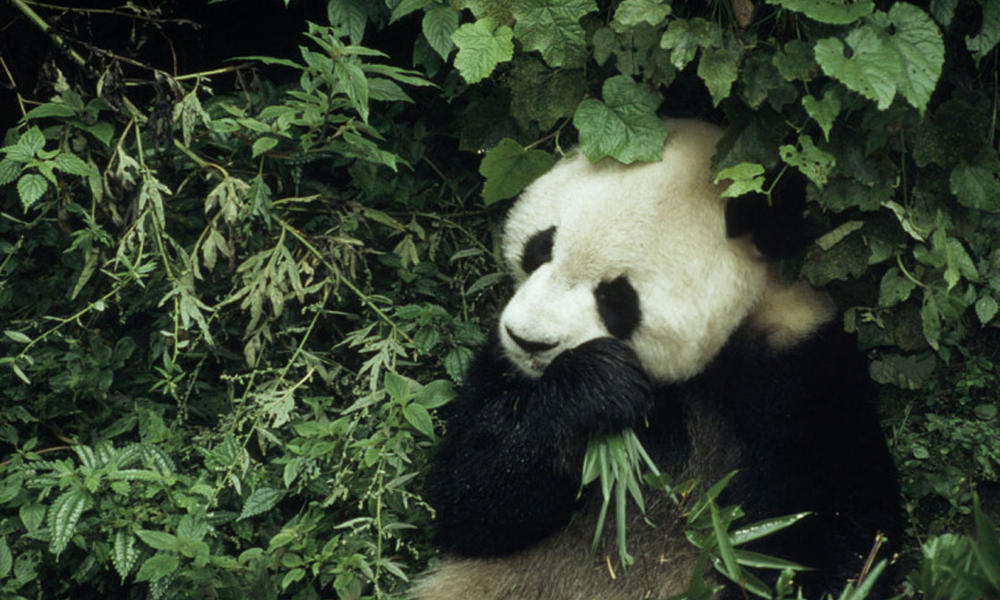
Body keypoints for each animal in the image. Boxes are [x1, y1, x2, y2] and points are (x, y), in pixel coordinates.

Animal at [411, 119, 901, 600]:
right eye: (540, 248)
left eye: (616, 297)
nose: (527, 340)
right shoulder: (503, 367)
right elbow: (473, 498)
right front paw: (596, 387)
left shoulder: (801, 366)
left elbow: (836, 524)